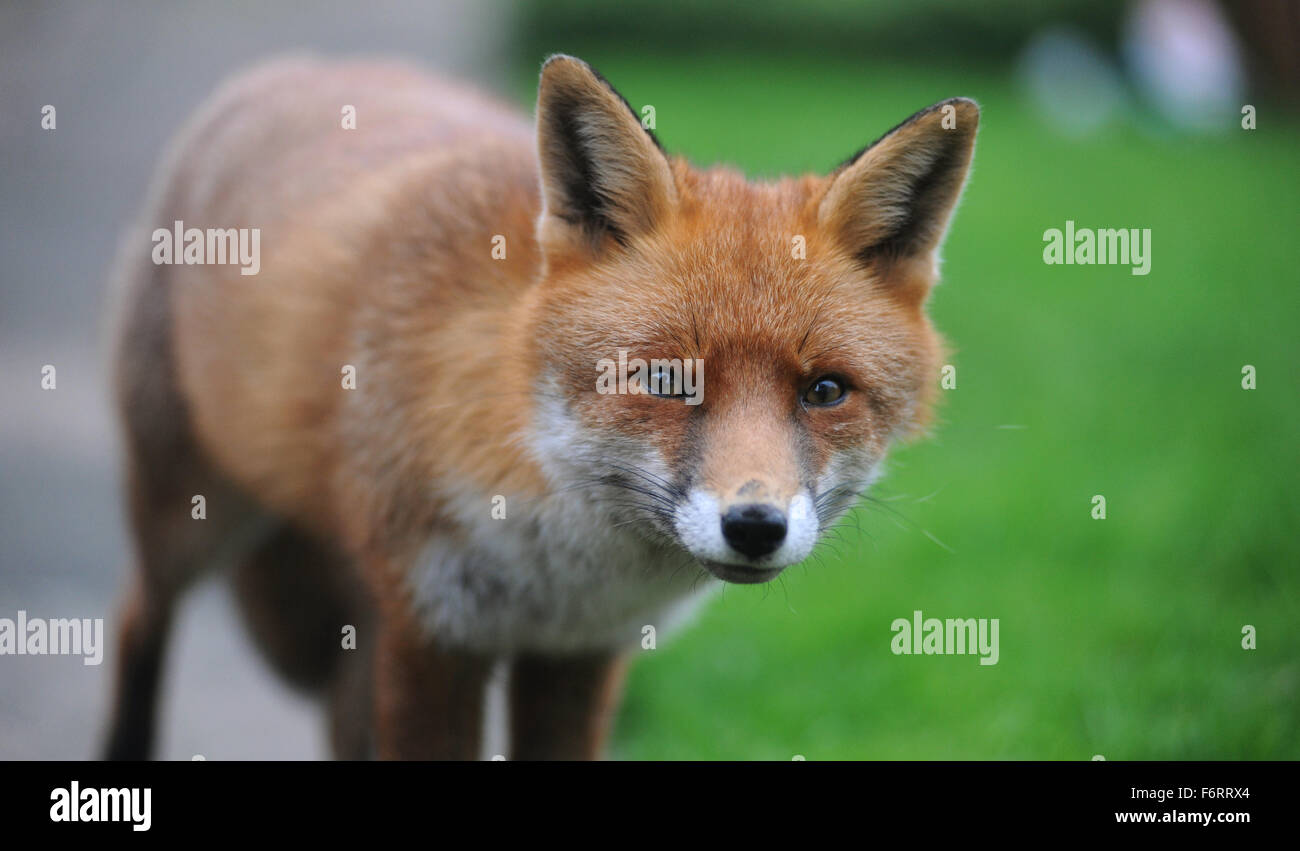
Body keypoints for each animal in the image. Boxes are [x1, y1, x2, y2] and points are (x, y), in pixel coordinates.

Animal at [103, 53, 979, 760]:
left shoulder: (576, 653)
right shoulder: (432, 629)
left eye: (824, 390)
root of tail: (291, 68)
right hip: (196, 515)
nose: (755, 526)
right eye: (668, 380)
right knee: (135, 617)